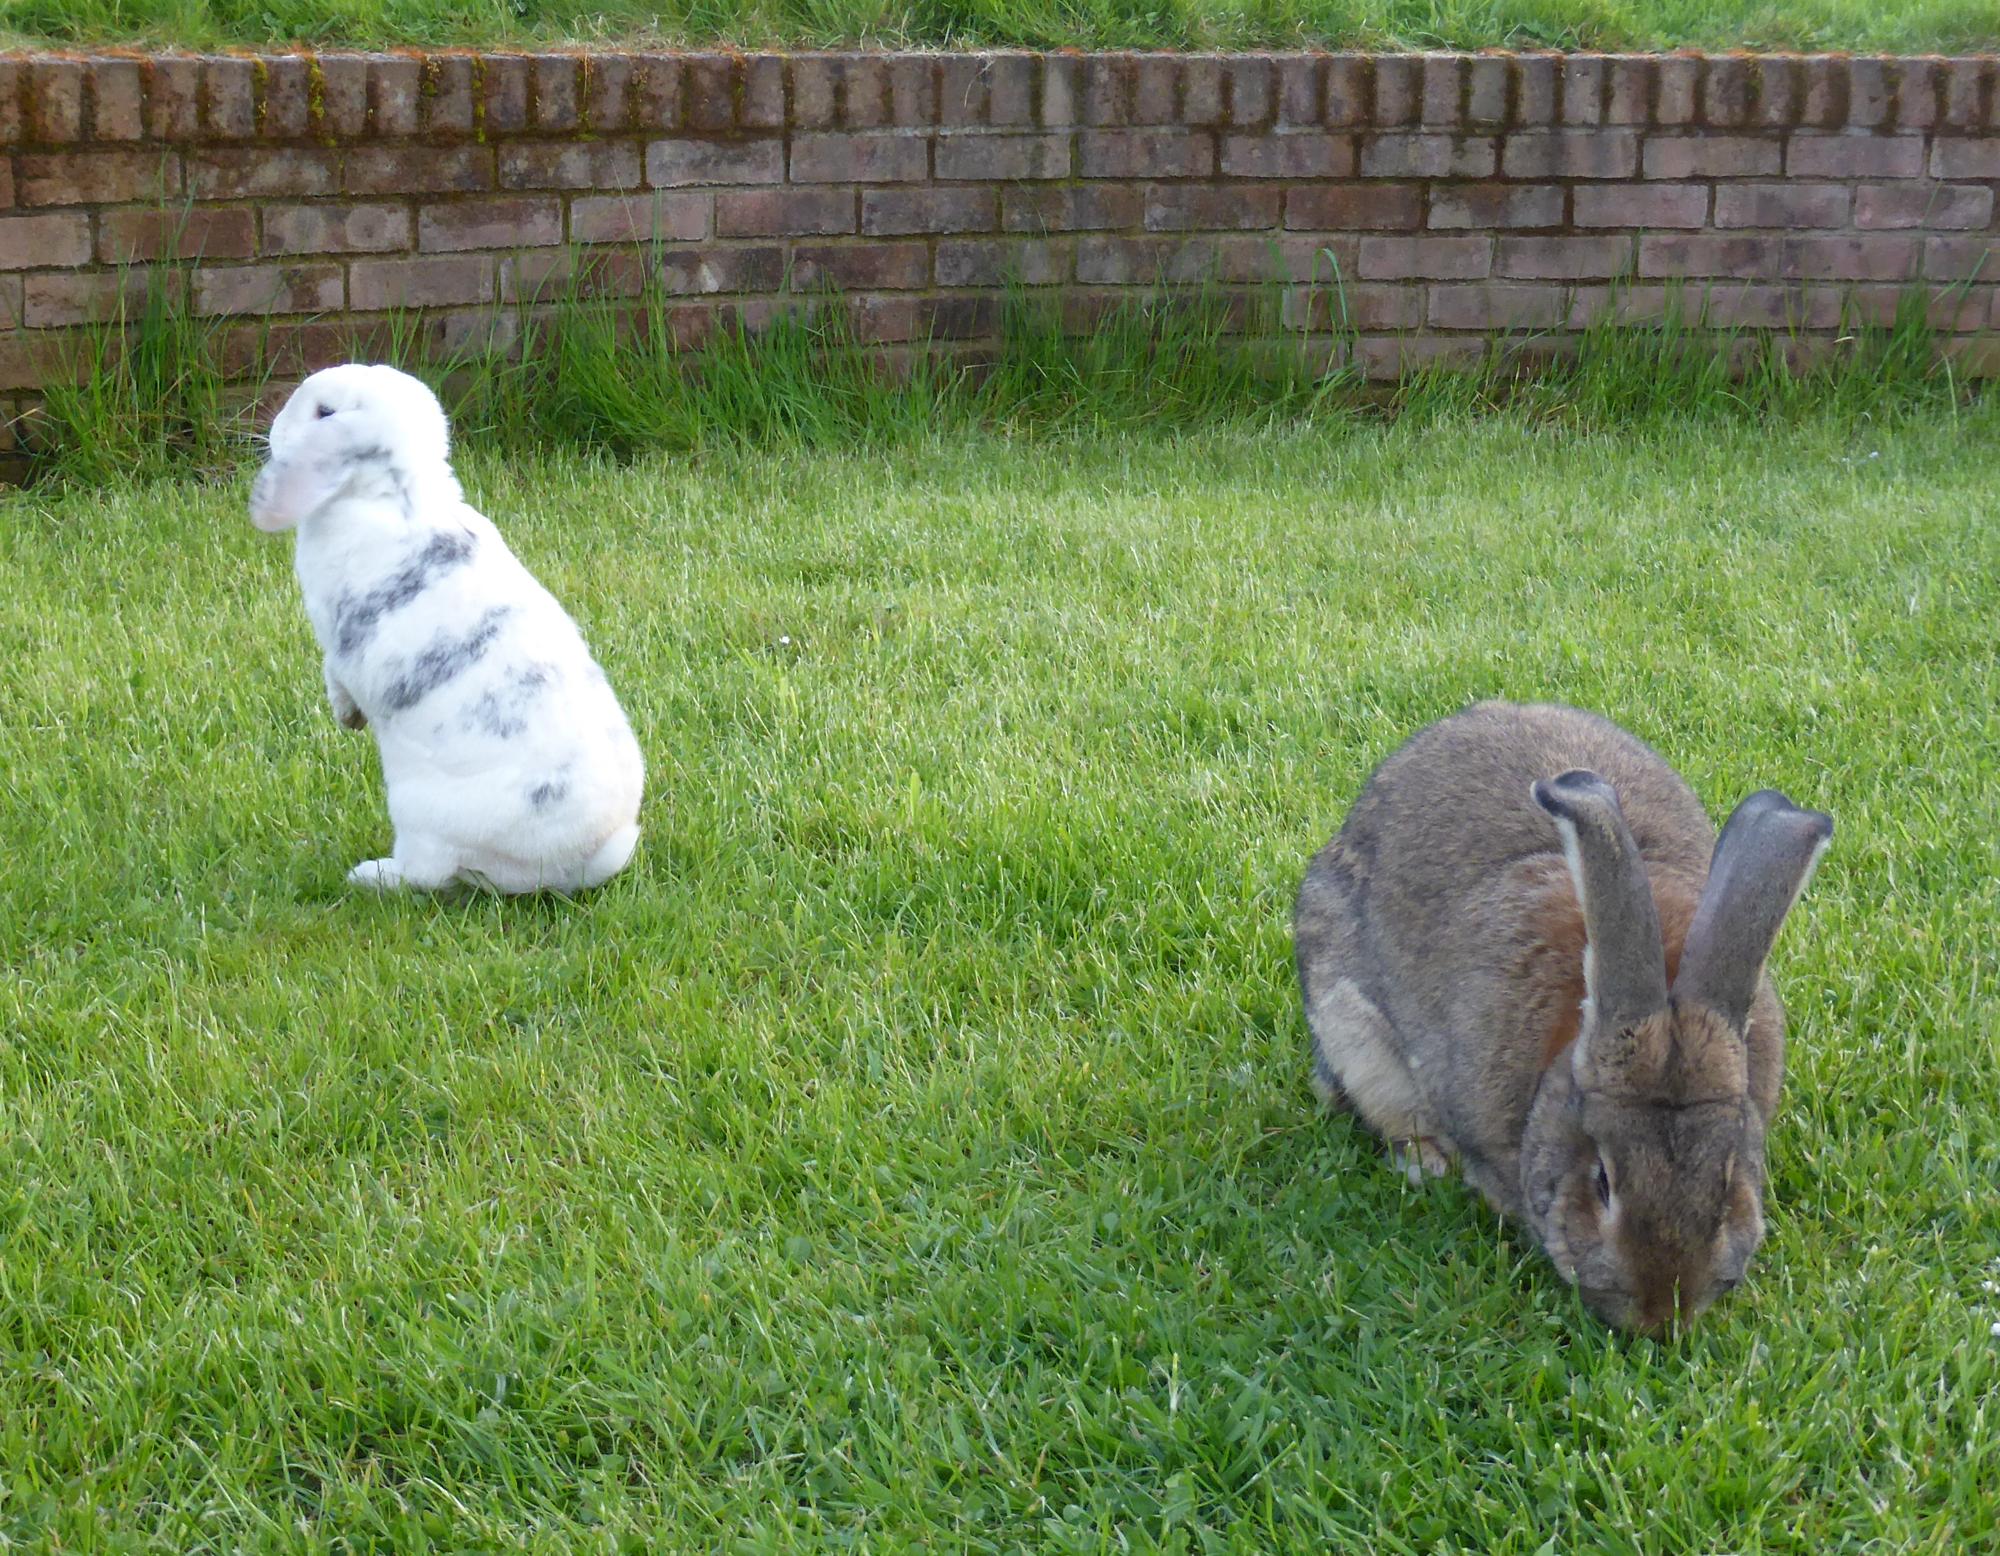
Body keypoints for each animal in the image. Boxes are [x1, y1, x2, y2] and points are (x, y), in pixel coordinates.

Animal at [250, 363, 644, 894]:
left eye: (325, 412)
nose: (274, 430)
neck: (389, 496)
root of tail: (579, 859)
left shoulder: (338, 641)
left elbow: (335, 672)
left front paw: (346, 715)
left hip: (418, 815)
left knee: (426, 875)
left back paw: (369, 875)